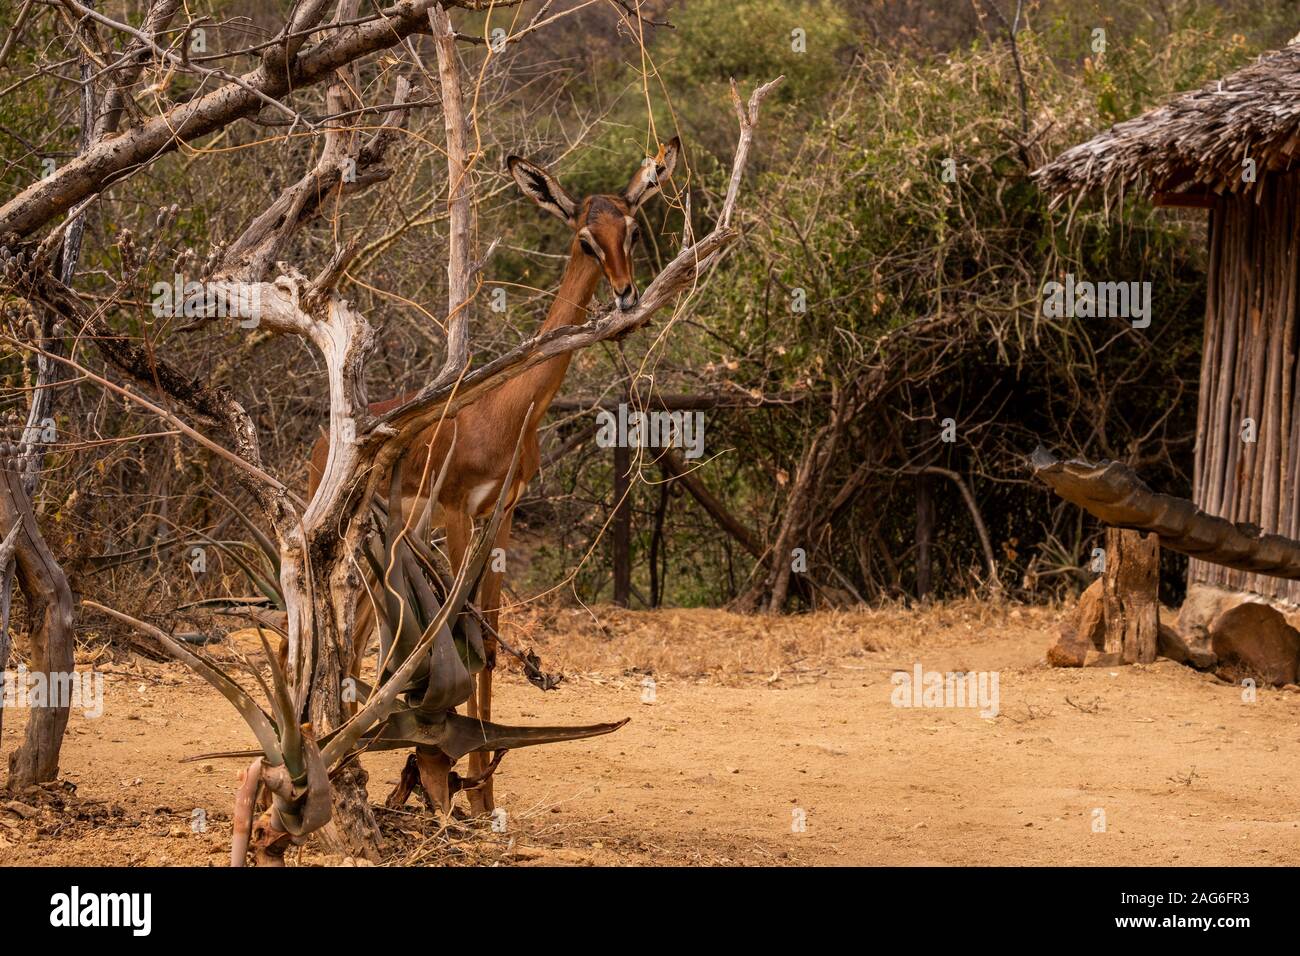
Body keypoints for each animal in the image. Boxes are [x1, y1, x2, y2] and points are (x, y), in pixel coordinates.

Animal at [306, 137, 681, 815]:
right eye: (585, 237)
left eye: (633, 228)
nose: (625, 294)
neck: (509, 407)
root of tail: (331, 440)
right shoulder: (460, 514)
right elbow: (472, 638)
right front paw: (465, 788)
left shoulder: (501, 515)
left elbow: (492, 643)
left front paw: (480, 792)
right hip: (358, 546)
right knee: (326, 634)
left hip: (386, 552)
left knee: (361, 634)